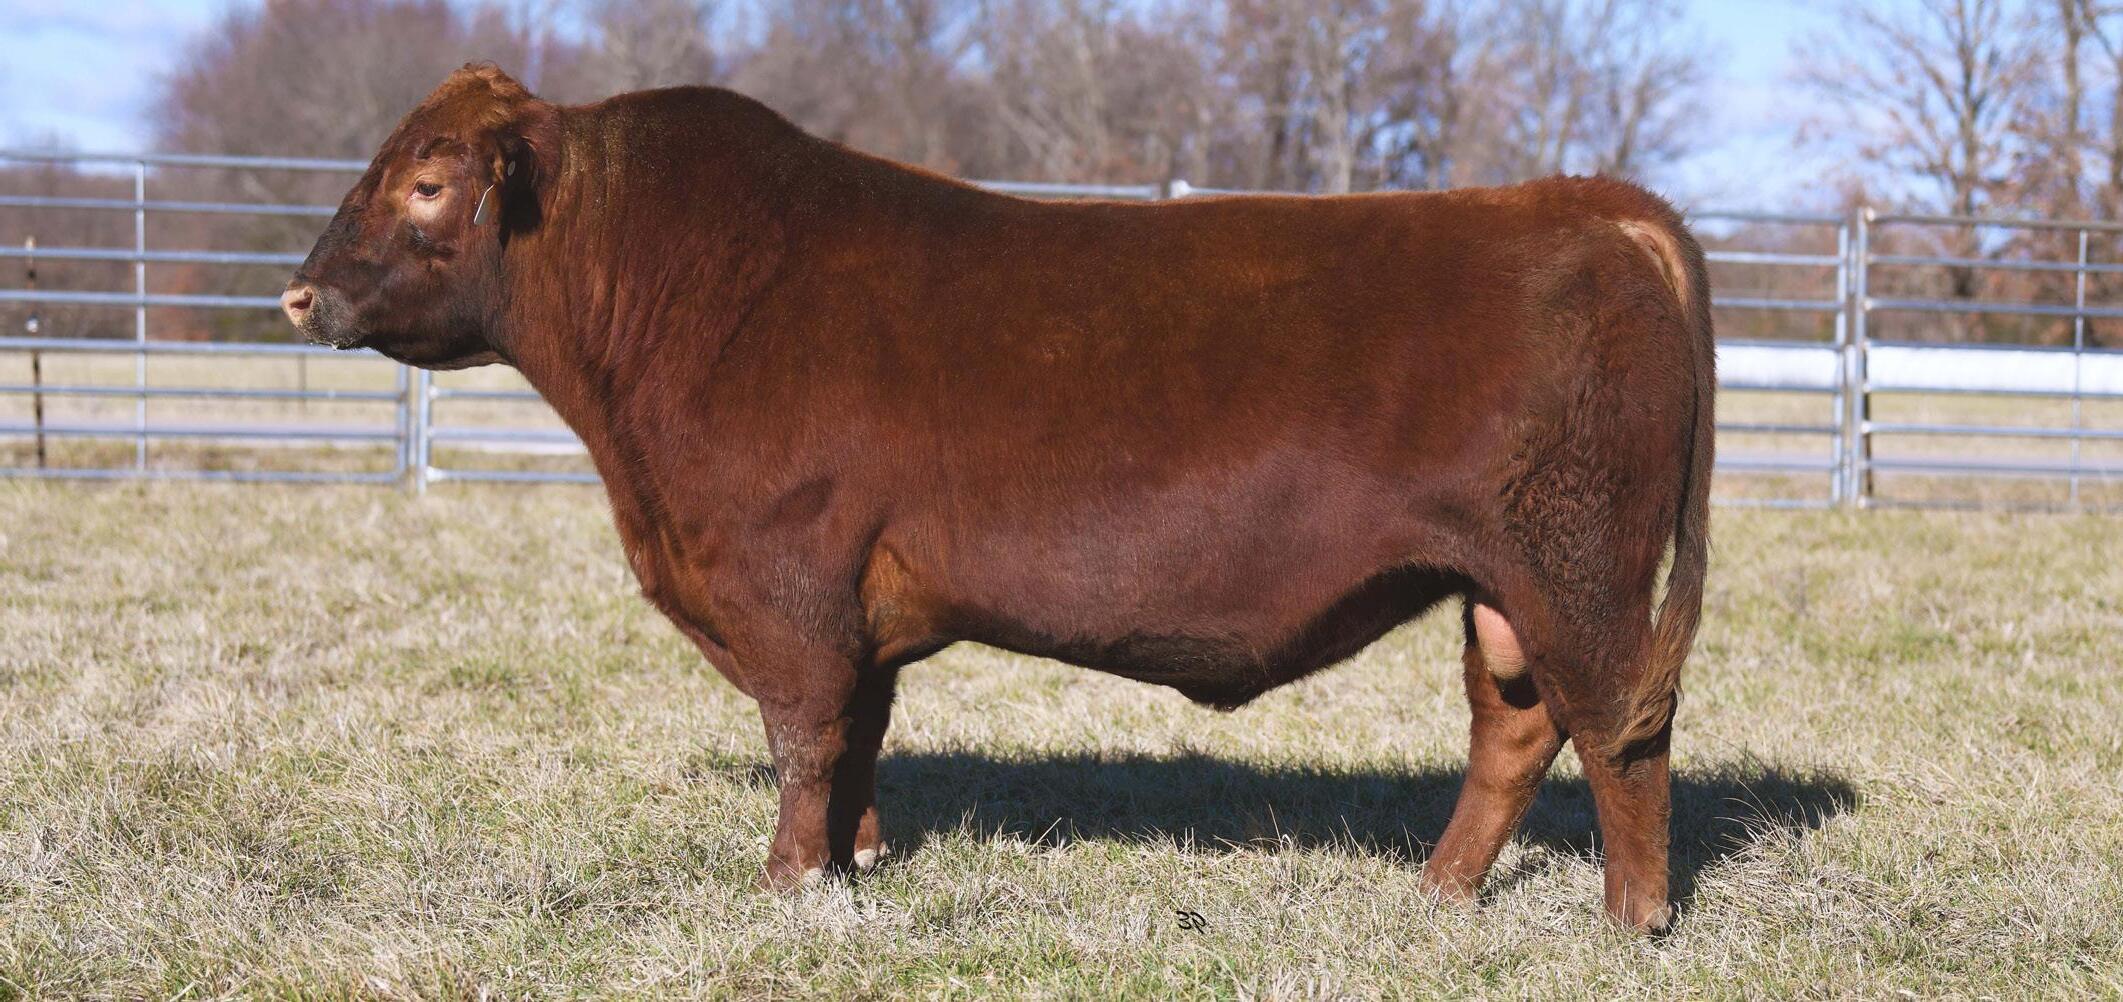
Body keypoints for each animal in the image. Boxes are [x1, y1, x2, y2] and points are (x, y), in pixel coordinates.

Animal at [282, 64, 1713, 932]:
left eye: (427, 185)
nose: (300, 295)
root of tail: (1587, 204)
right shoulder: (849, 608)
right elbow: (856, 737)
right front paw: (852, 863)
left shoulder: (785, 584)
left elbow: (803, 736)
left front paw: (787, 881)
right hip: (1498, 587)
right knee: (1516, 726)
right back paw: (1436, 893)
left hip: (1575, 566)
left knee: (1619, 729)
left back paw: (1629, 920)